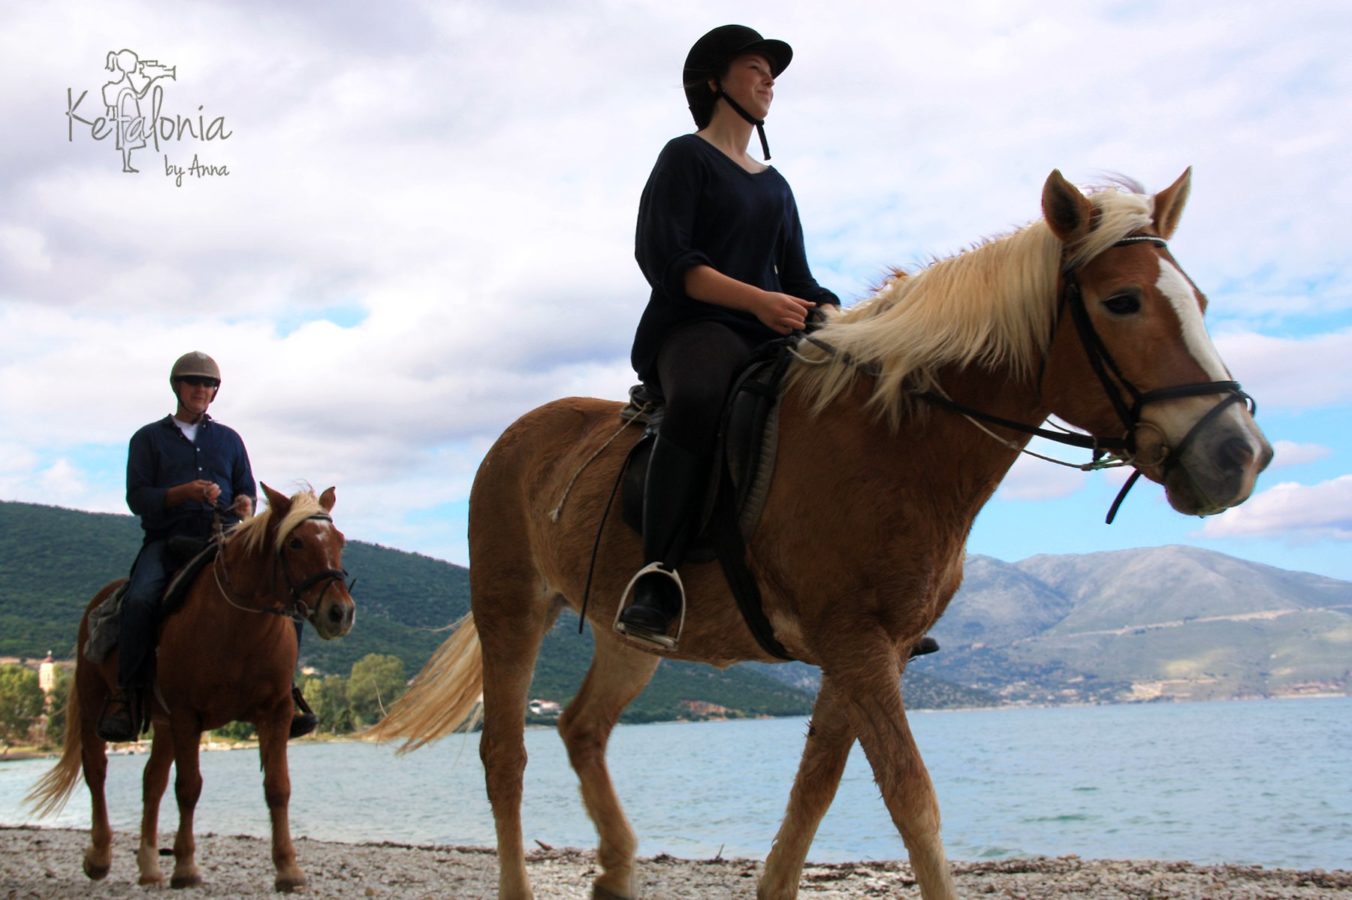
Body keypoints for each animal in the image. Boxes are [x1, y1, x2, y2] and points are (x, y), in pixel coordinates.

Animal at [26, 483, 356, 893]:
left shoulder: (275, 713)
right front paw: (185, 867)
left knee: (151, 781)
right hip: (94, 705)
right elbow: (188, 787)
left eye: (339, 539)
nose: (340, 612)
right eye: (295, 543)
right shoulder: (187, 715)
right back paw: (100, 857)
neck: (239, 626)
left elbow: (278, 787)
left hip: (163, 723)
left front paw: (288, 869)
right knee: (97, 771)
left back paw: (150, 866)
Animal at [367, 169, 1272, 899]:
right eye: (1122, 302)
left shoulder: (870, 648)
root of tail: (519, 434)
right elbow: (912, 800)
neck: (893, 437)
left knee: (583, 728)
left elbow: (816, 790)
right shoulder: (857, 643)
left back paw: (617, 869)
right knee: (505, 758)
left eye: (1201, 302)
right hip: (512, 611)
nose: (1239, 456)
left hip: (632, 635)